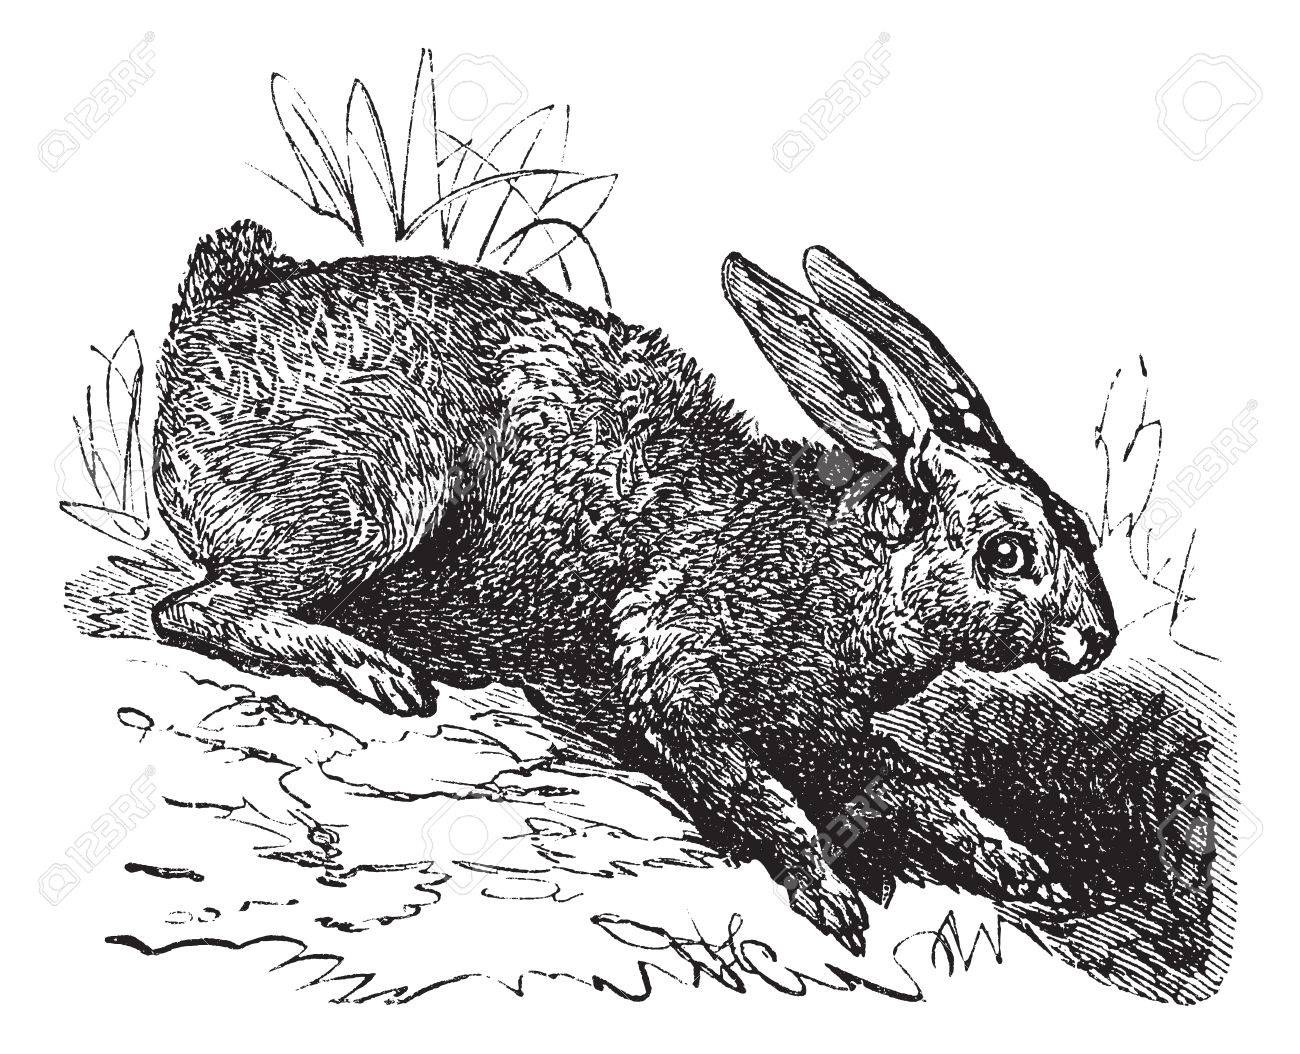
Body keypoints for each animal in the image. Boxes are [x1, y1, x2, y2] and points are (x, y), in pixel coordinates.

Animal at [151, 220, 1116, 951]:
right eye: (1004, 553)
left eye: (1076, 524)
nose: (1098, 640)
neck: (843, 561)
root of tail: (201, 323)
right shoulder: (674, 675)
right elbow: (762, 799)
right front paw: (832, 901)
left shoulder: (826, 724)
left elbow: (917, 785)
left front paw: (1026, 871)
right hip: (372, 505)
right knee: (197, 608)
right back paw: (379, 672)